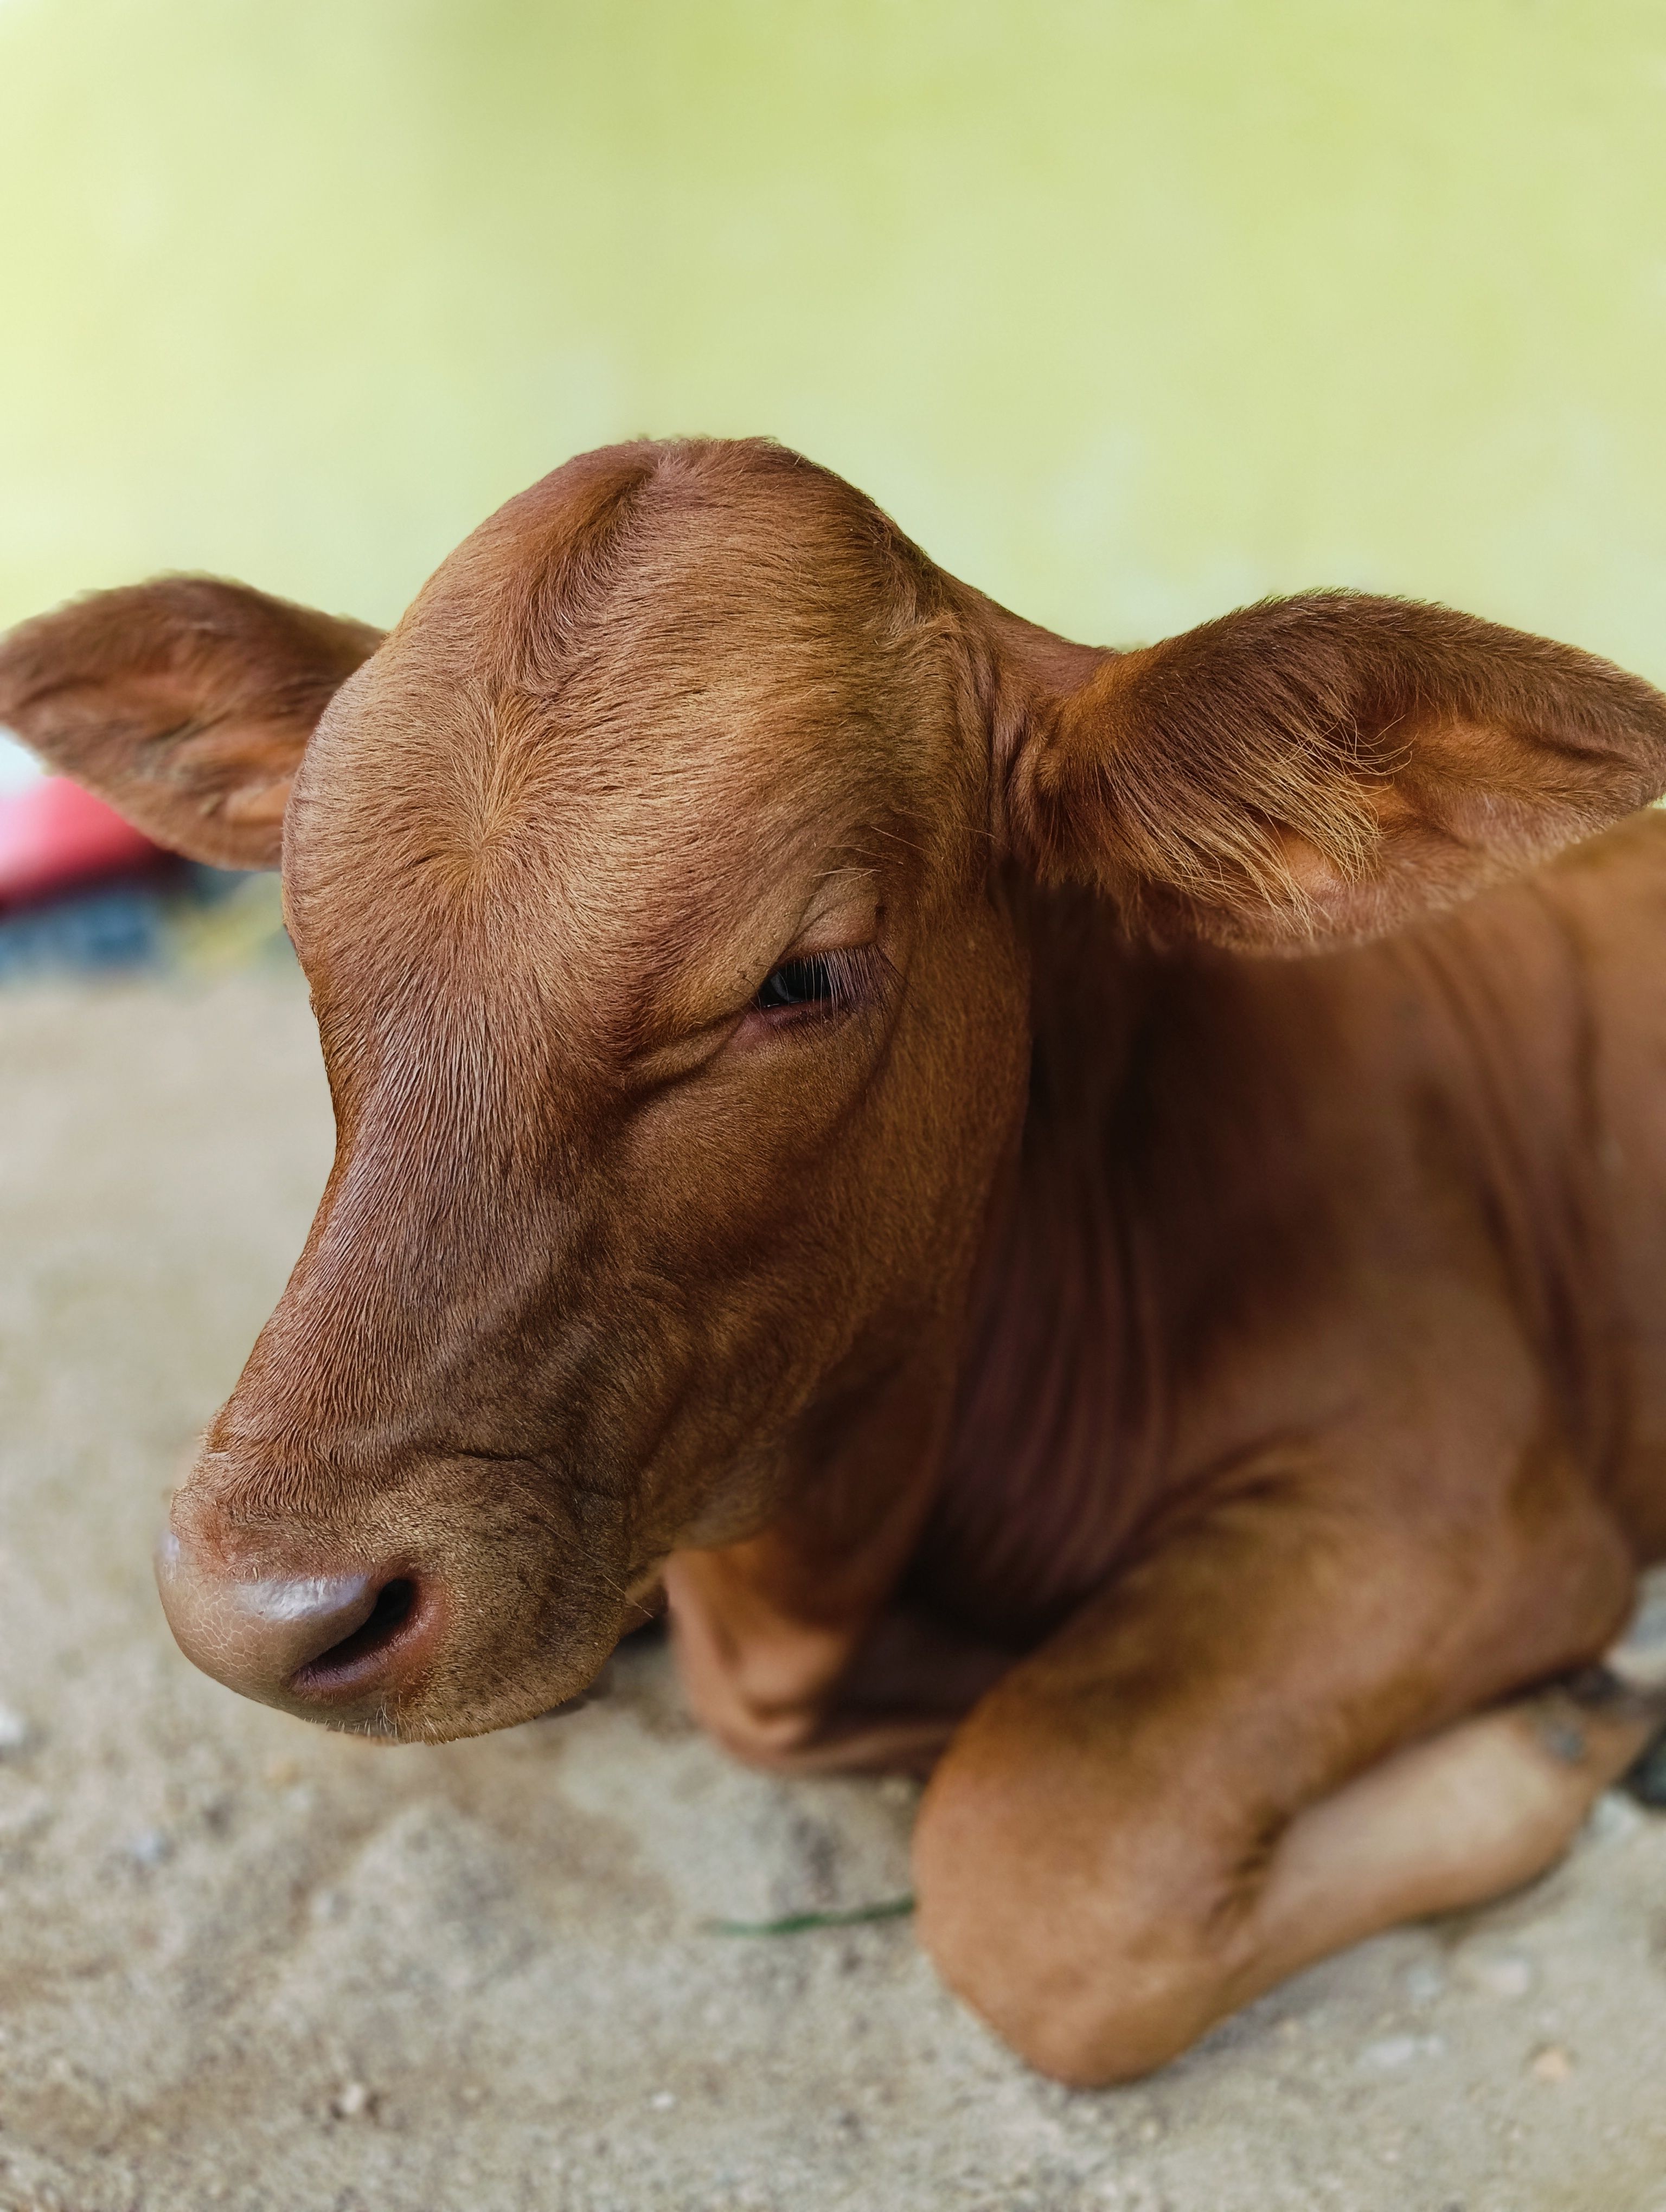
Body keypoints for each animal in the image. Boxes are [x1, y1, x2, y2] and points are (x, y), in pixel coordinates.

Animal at [4, 437, 1666, 2086]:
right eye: (306, 936)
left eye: (799, 976)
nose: (259, 1606)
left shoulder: (1464, 1496)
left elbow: (1034, 1881)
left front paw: (1559, 1731)